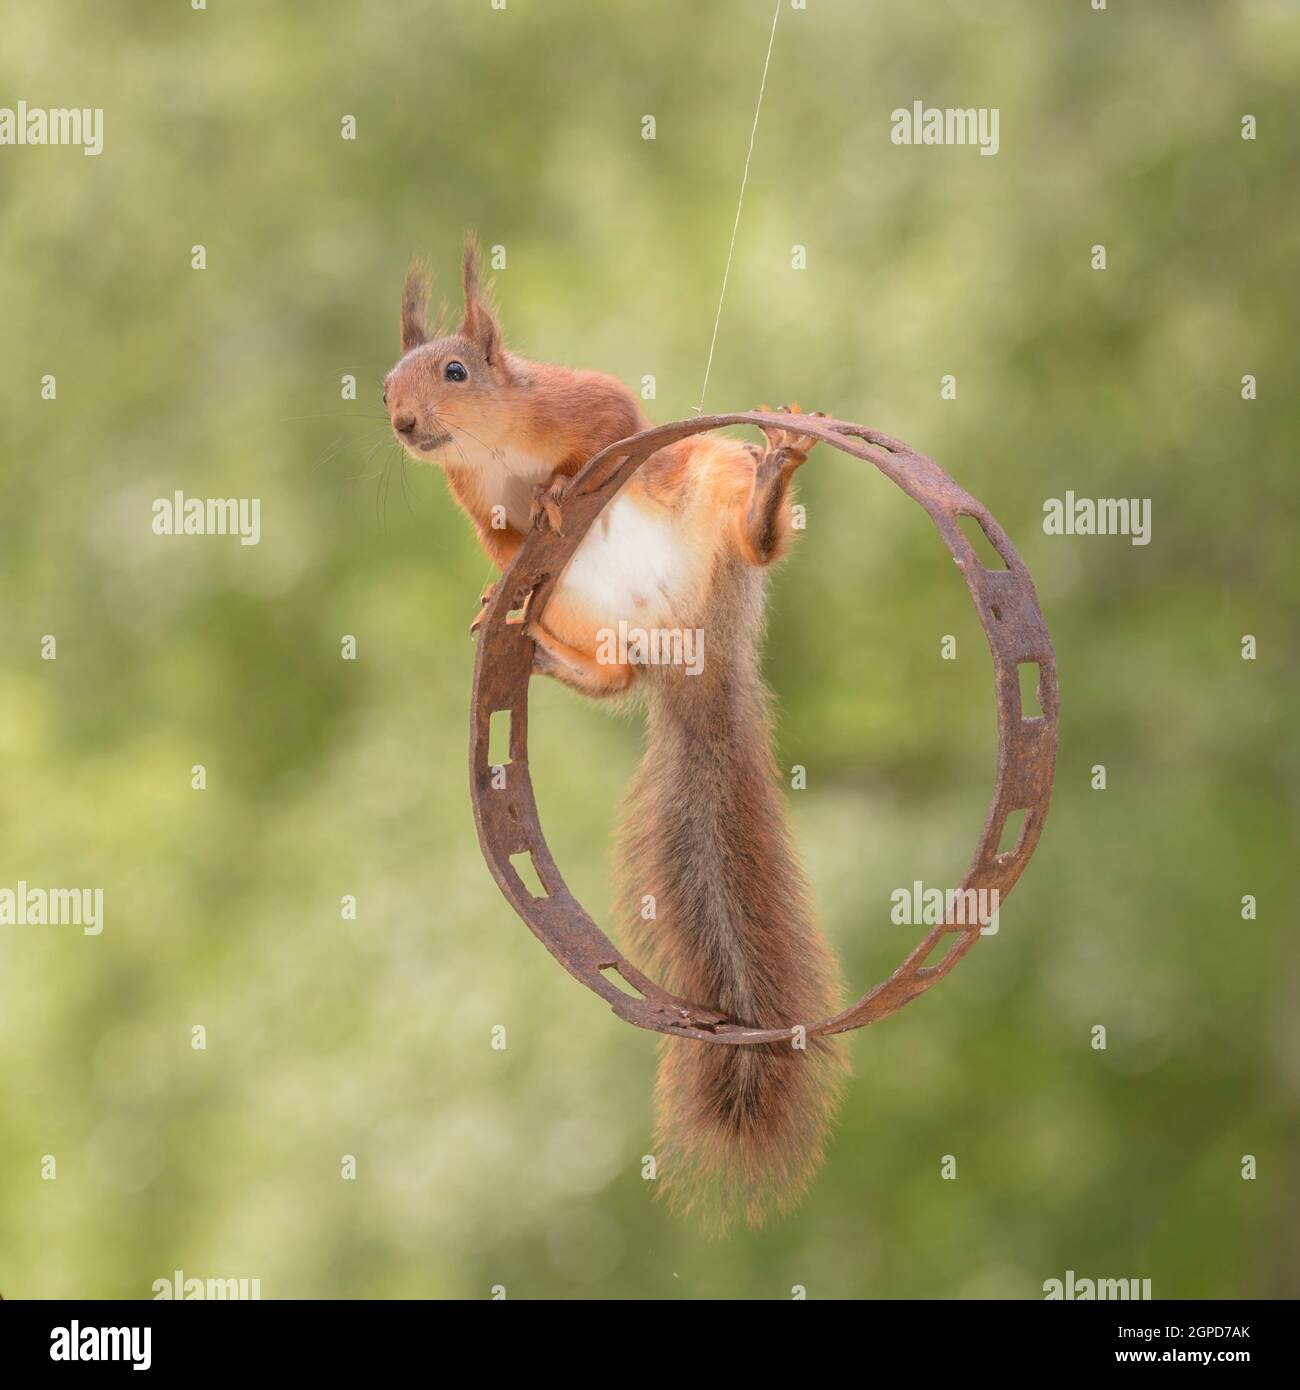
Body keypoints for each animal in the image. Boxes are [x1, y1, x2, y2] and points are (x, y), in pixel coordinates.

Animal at [384, 238, 847, 1228]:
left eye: (456, 371)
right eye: (383, 382)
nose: (403, 424)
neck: (488, 441)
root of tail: (689, 639)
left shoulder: (585, 402)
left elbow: (607, 427)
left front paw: (562, 488)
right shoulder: (480, 510)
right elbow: (503, 540)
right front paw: (504, 570)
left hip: (707, 482)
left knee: (751, 535)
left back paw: (768, 489)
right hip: (577, 606)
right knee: (612, 675)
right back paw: (534, 645)